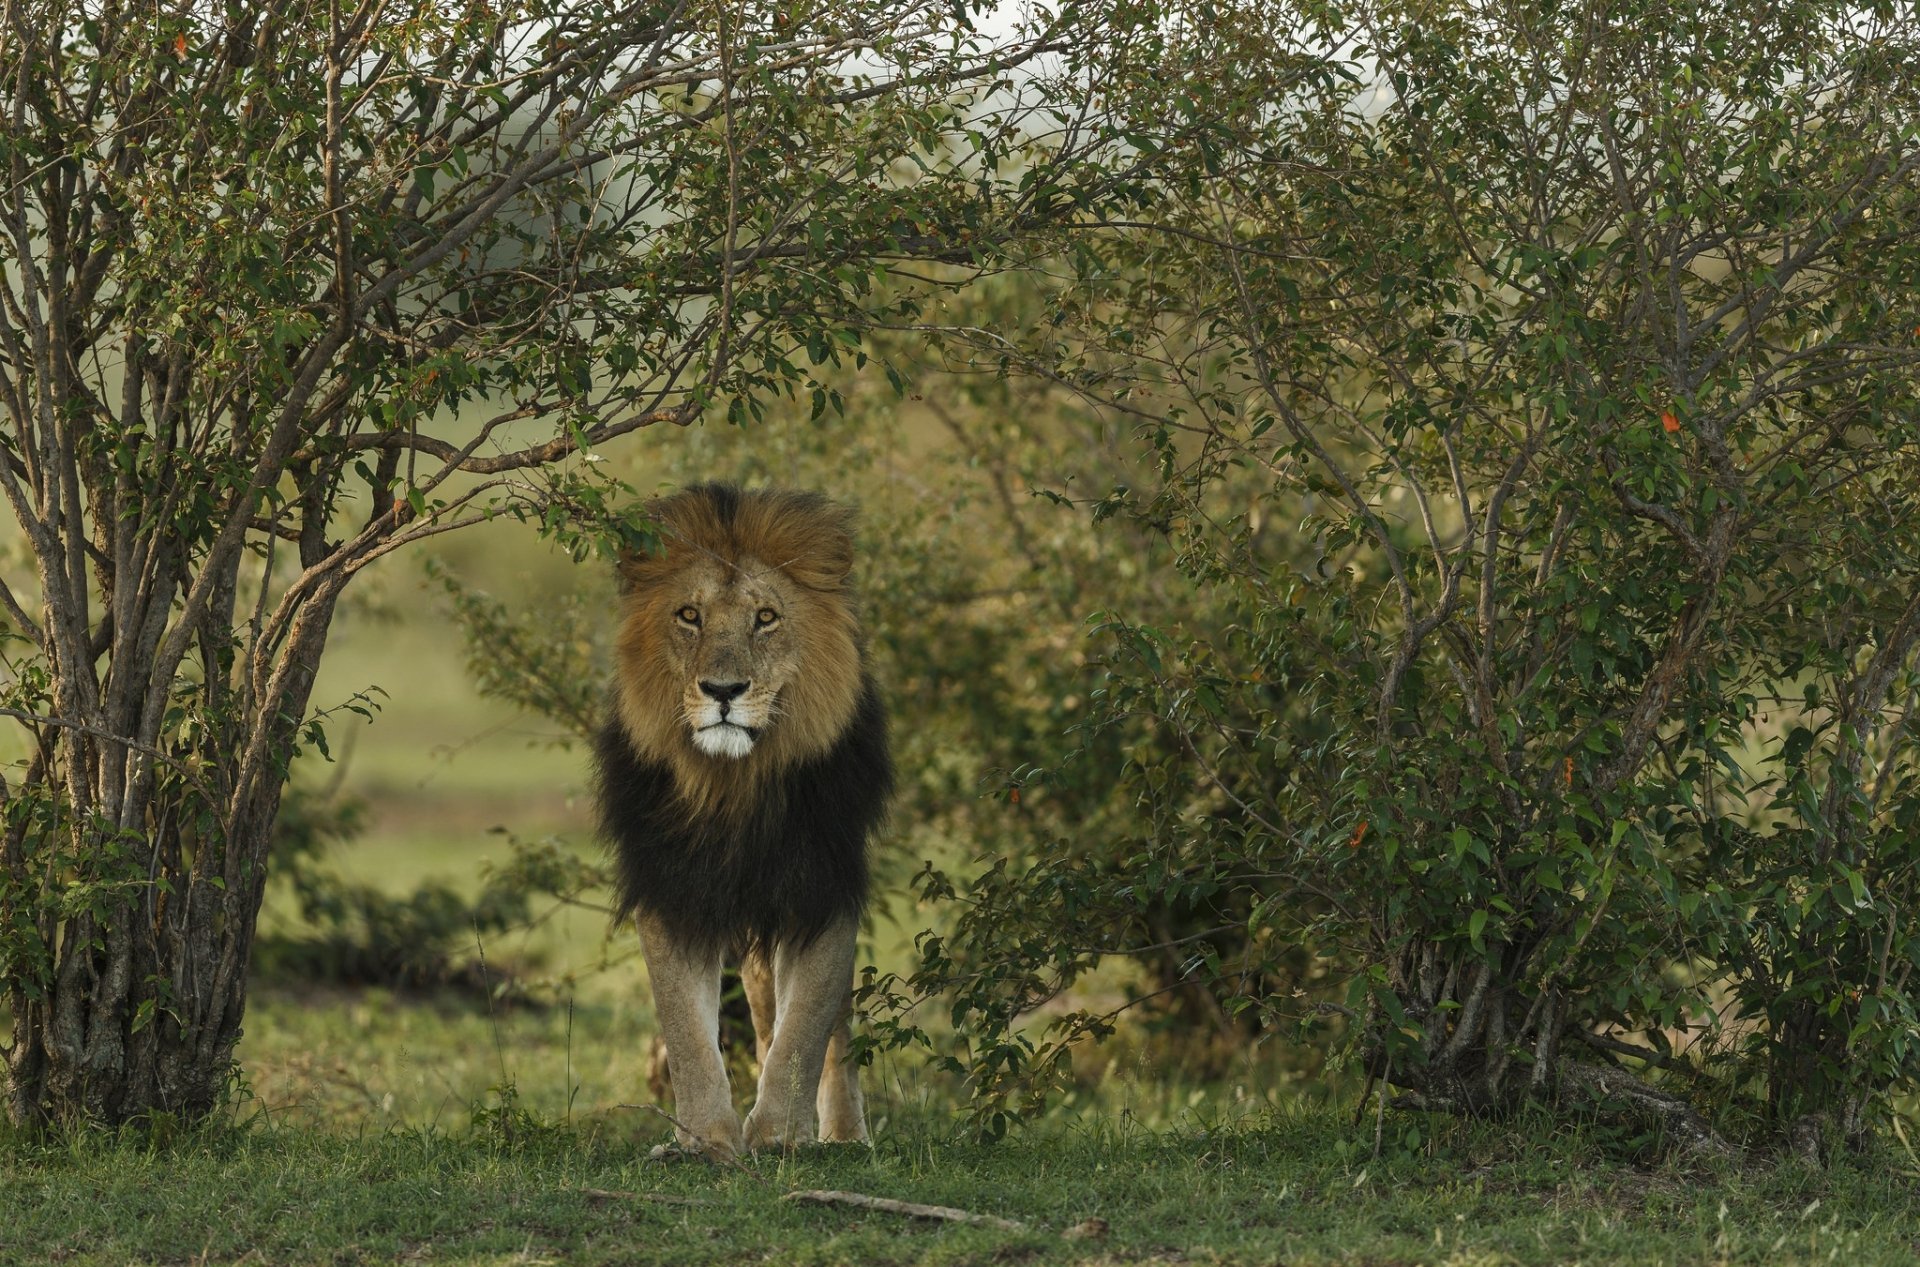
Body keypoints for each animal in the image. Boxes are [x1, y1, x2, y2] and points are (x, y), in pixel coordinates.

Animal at [592, 483, 892, 1159]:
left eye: (766, 618)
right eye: (689, 616)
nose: (723, 690)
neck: (733, 786)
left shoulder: (822, 887)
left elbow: (807, 1027)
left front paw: (781, 1136)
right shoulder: (671, 889)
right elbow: (686, 1033)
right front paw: (705, 1141)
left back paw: (844, 1135)